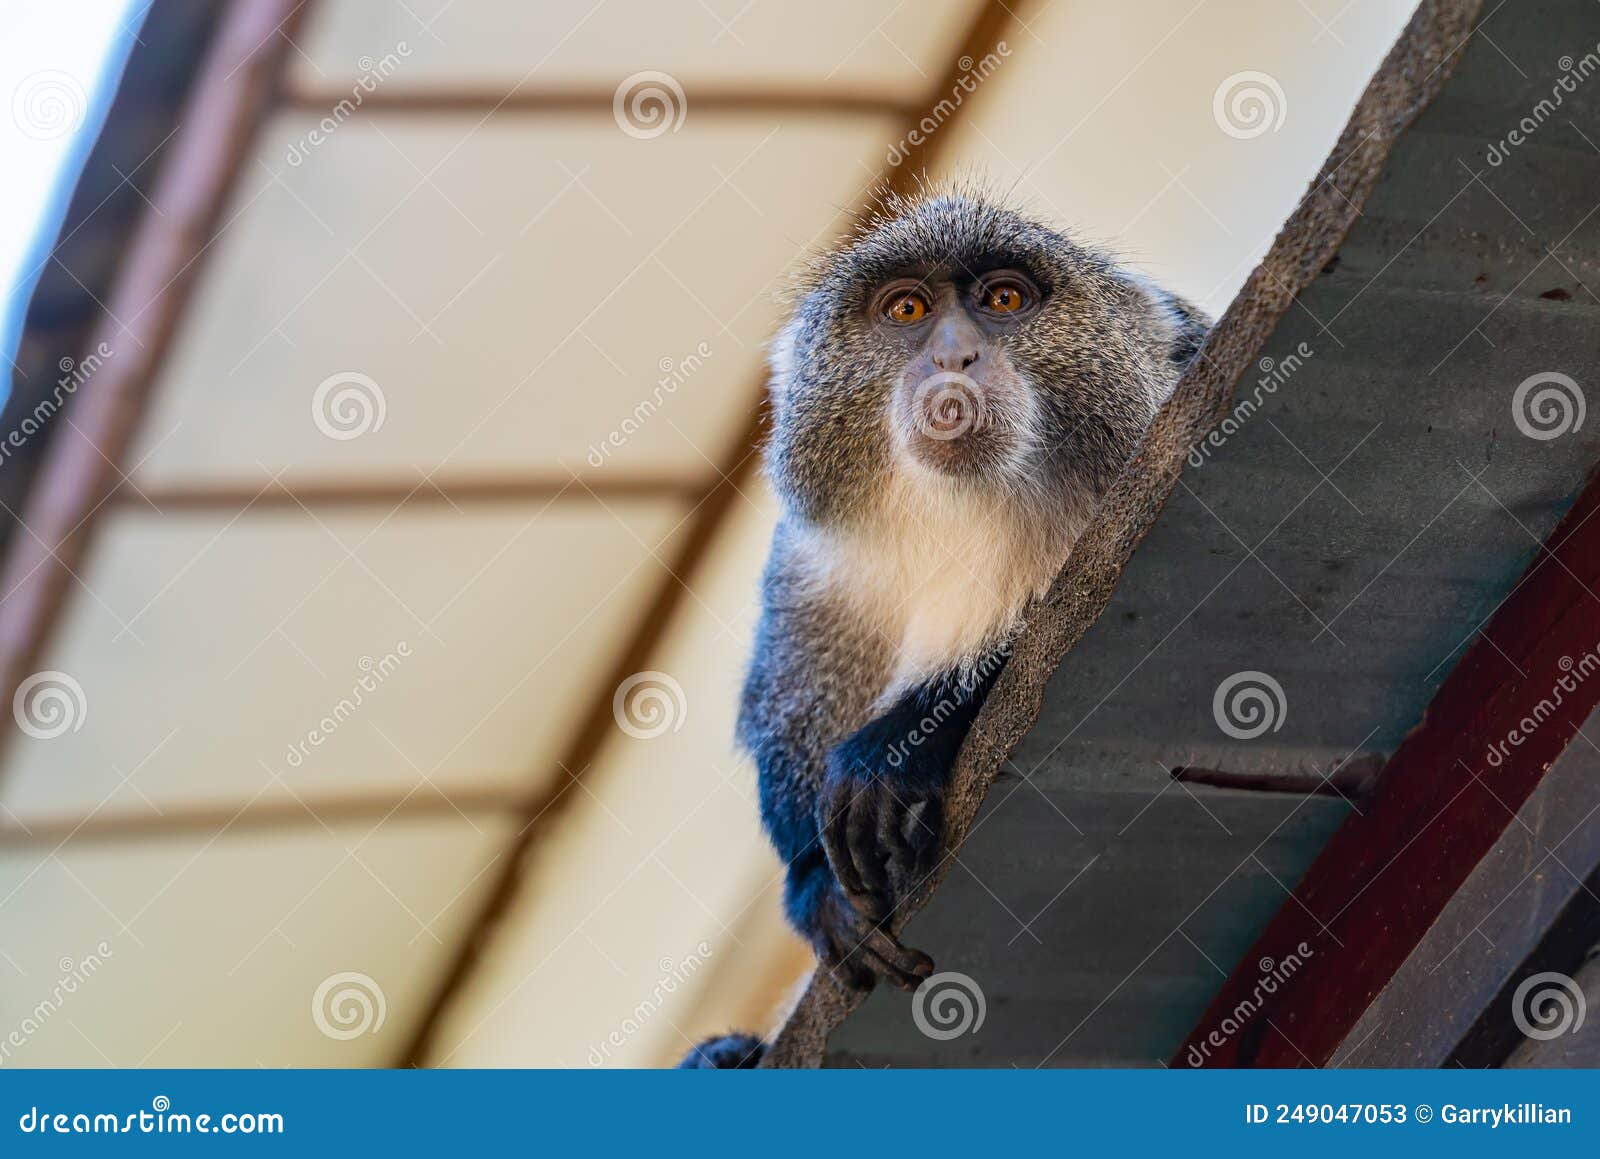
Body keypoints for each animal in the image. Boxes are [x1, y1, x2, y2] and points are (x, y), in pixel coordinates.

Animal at [679, 188, 1209, 1068]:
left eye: (1004, 299)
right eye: (908, 309)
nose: (955, 355)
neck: (969, 509)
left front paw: (892, 753)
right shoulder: (815, 569)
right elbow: (788, 701)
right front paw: (818, 887)